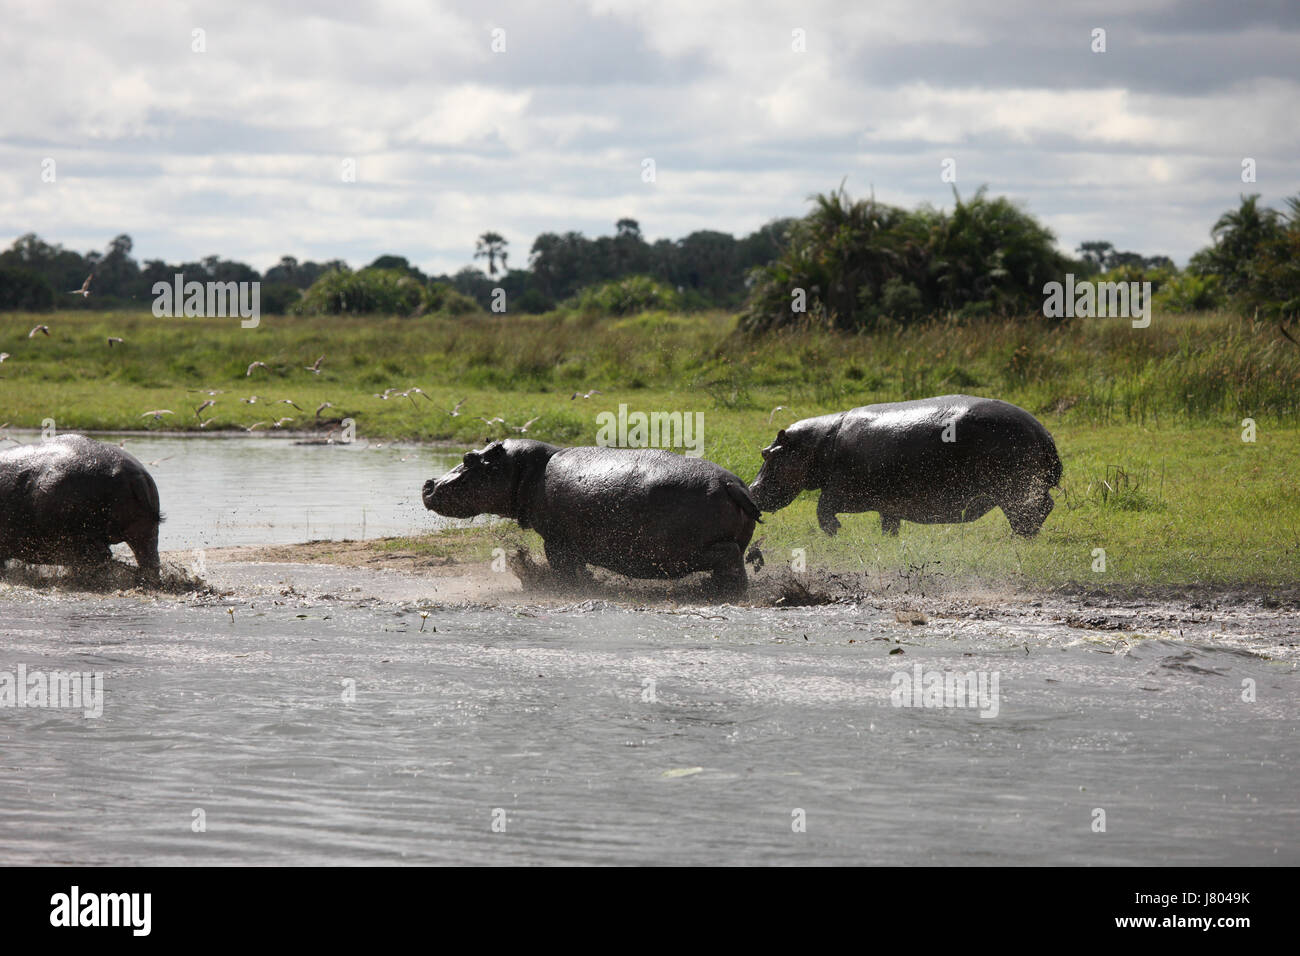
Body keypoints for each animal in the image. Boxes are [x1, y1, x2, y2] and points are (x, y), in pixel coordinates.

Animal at [422, 440, 760, 595]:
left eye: (469, 458)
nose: (428, 484)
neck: (527, 468)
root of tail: (731, 484)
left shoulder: (556, 541)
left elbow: (562, 567)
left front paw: (565, 588)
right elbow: (579, 567)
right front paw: (589, 584)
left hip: (683, 552)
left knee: (727, 556)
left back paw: (724, 591)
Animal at [750, 395, 1061, 537]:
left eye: (766, 454)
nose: (750, 489)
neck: (817, 444)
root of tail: (1045, 435)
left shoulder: (843, 492)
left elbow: (822, 507)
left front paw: (836, 531)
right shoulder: (887, 503)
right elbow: (890, 523)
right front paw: (888, 540)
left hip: (1013, 487)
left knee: (1033, 509)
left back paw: (1021, 535)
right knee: (1043, 506)